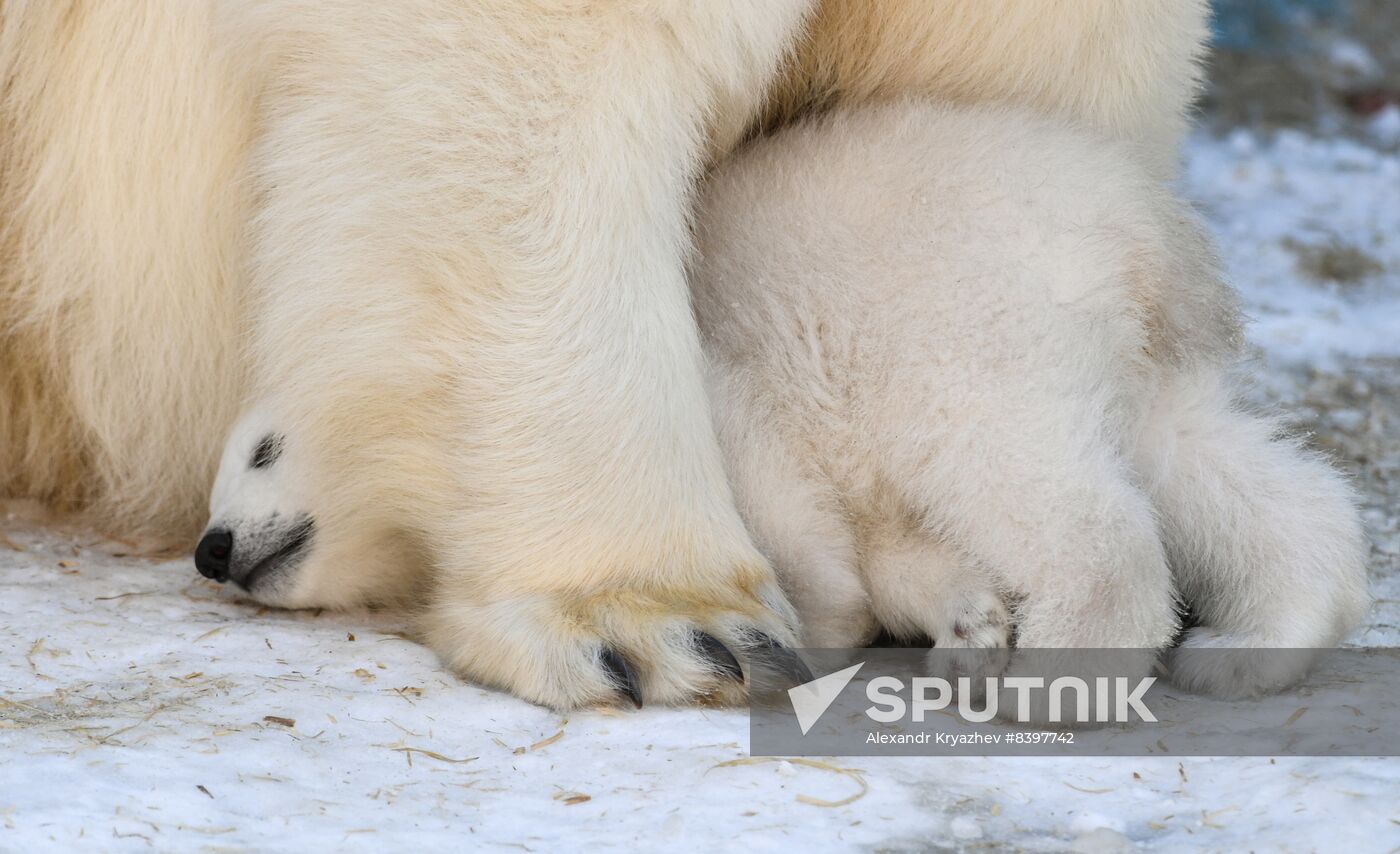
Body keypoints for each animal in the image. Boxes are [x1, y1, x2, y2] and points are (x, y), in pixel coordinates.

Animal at [204, 101, 1371, 706]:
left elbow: (774, 492)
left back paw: (1059, 669)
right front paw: (963, 617)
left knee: (1034, 479)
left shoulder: (722, 383)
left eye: (259, 451)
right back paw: (1254, 644)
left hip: (963, 310)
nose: (212, 547)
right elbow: (895, 542)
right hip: (1123, 346)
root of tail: (1146, 232)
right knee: (1207, 461)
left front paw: (808, 622)